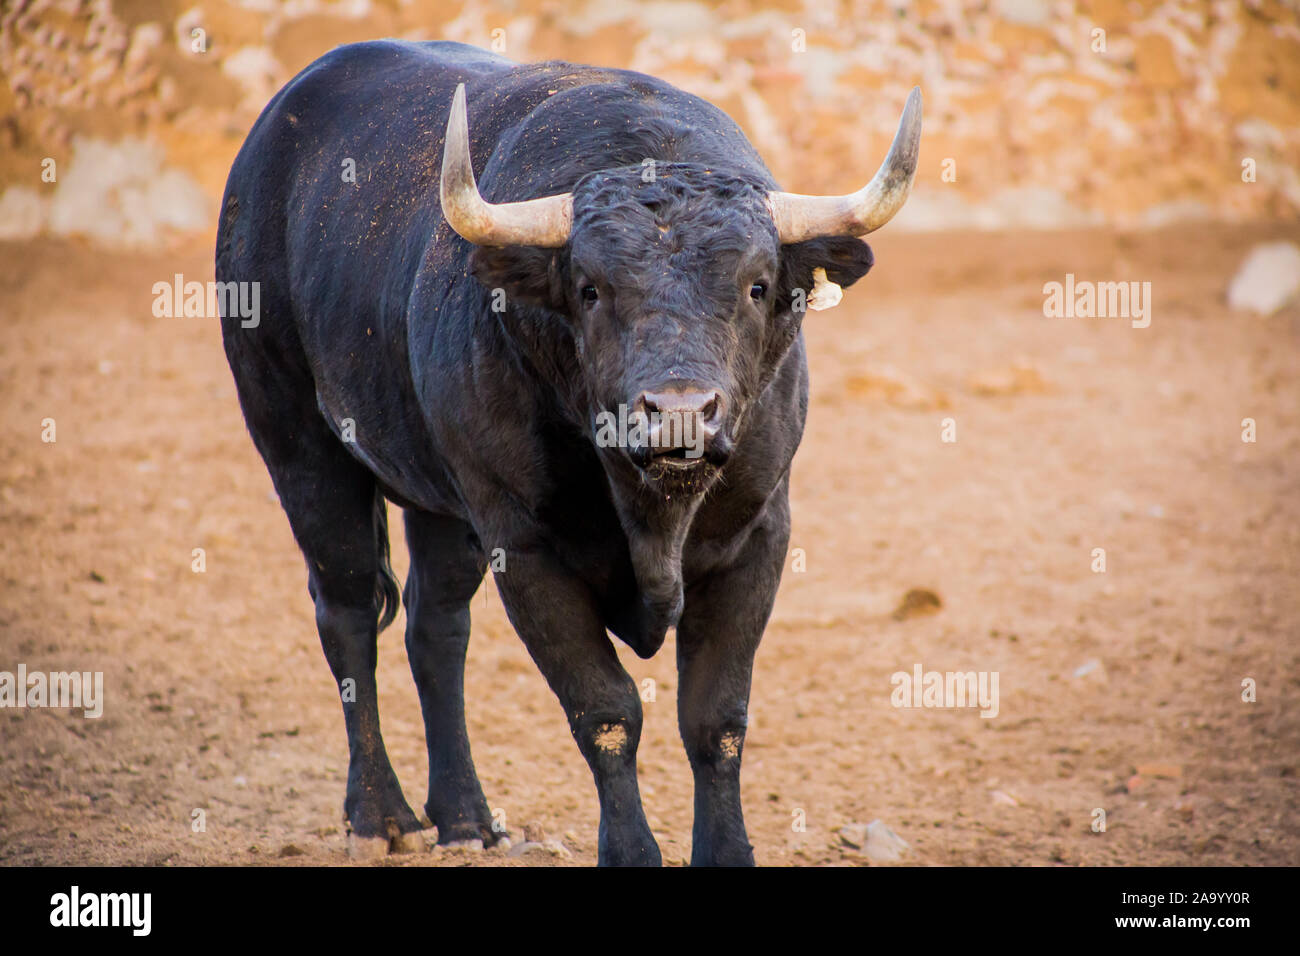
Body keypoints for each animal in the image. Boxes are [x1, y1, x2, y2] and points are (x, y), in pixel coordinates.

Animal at [216, 39, 920, 866]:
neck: (653, 516)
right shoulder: (525, 548)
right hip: (298, 444)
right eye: (589, 288)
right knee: (349, 615)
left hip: (440, 500)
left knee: (435, 626)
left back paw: (465, 816)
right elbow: (606, 712)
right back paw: (381, 814)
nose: (679, 415)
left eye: (756, 284)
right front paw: (630, 850)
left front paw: (726, 850)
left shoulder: (759, 536)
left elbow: (716, 719)